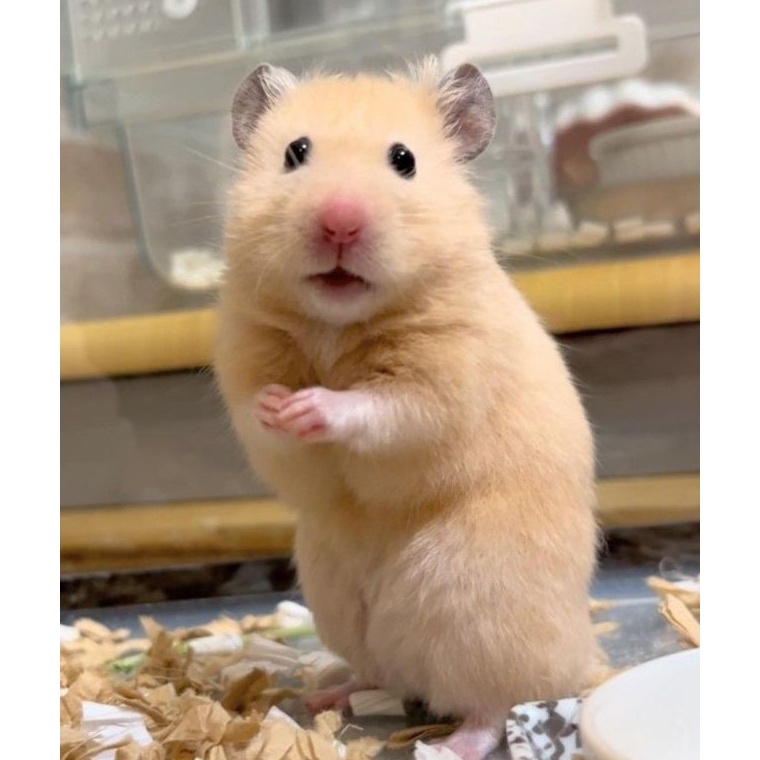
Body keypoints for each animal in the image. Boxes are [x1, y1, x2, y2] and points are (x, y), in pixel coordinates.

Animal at [214, 59, 601, 760]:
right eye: (295, 154)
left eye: (404, 160)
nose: (339, 221)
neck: (335, 325)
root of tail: (584, 655)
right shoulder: (241, 358)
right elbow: (257, 414)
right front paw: (278, 405)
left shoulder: (442, 383)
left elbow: (382, 408)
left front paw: (312, 406)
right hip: (340, 603)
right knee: (386, 677)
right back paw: (330, 695)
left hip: (474, 613)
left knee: (492, 705)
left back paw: (452, 744)